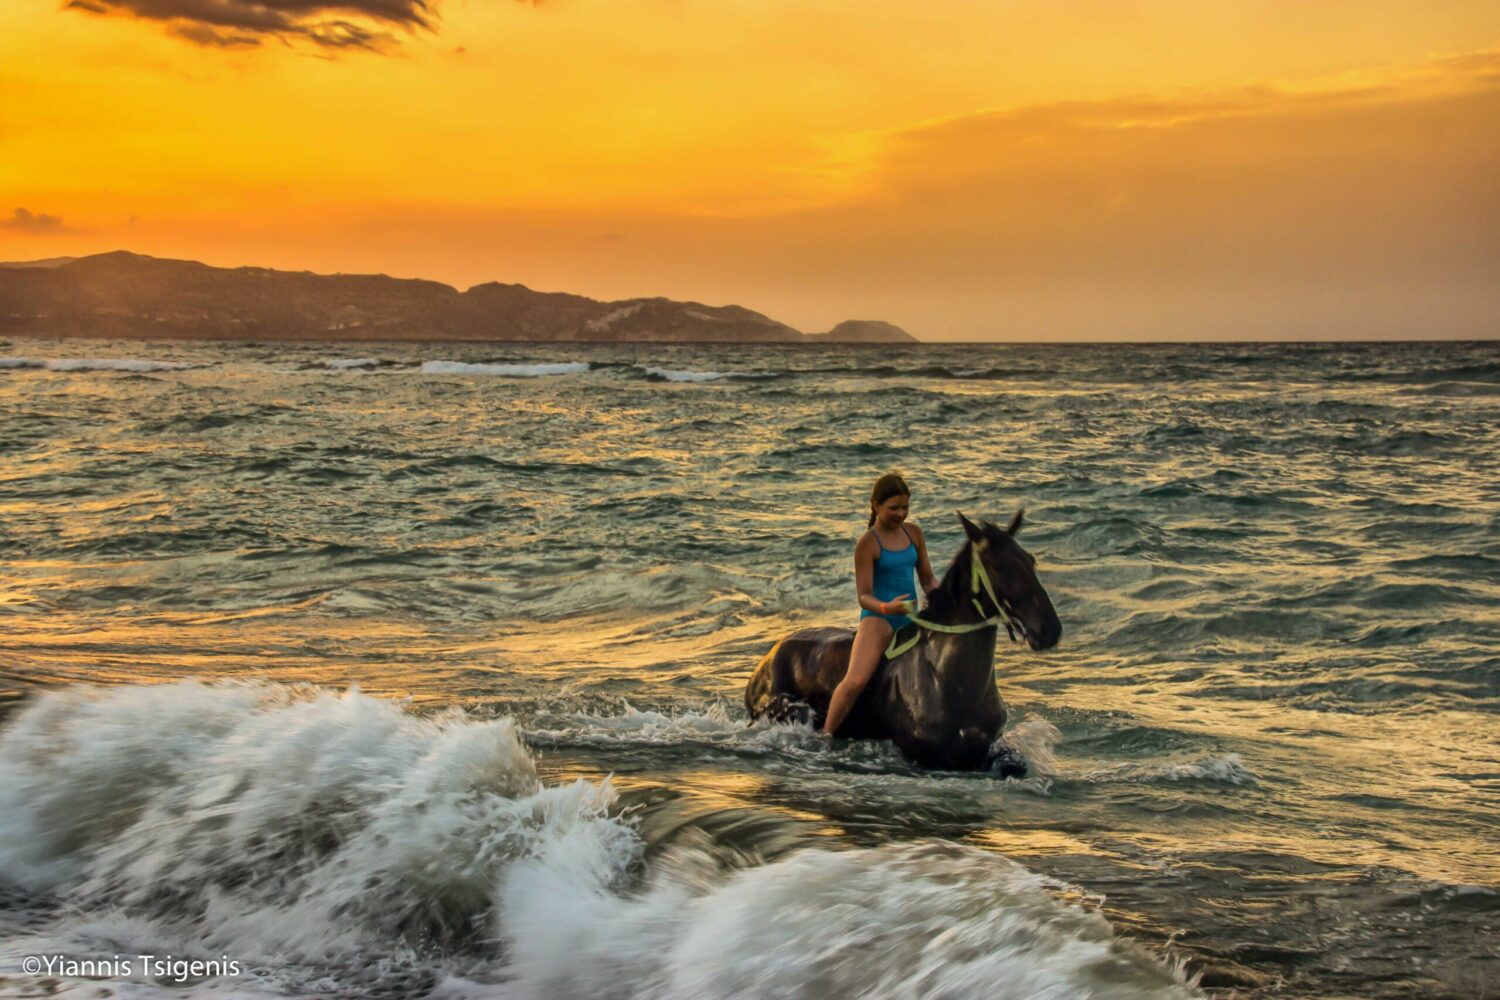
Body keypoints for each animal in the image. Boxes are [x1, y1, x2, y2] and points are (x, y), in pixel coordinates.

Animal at [744, 511, 1060, 774]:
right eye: (997, 566)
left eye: (1030, 560)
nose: (1050, 629)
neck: (945, 676)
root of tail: (768, 658)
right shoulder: (923, 757)